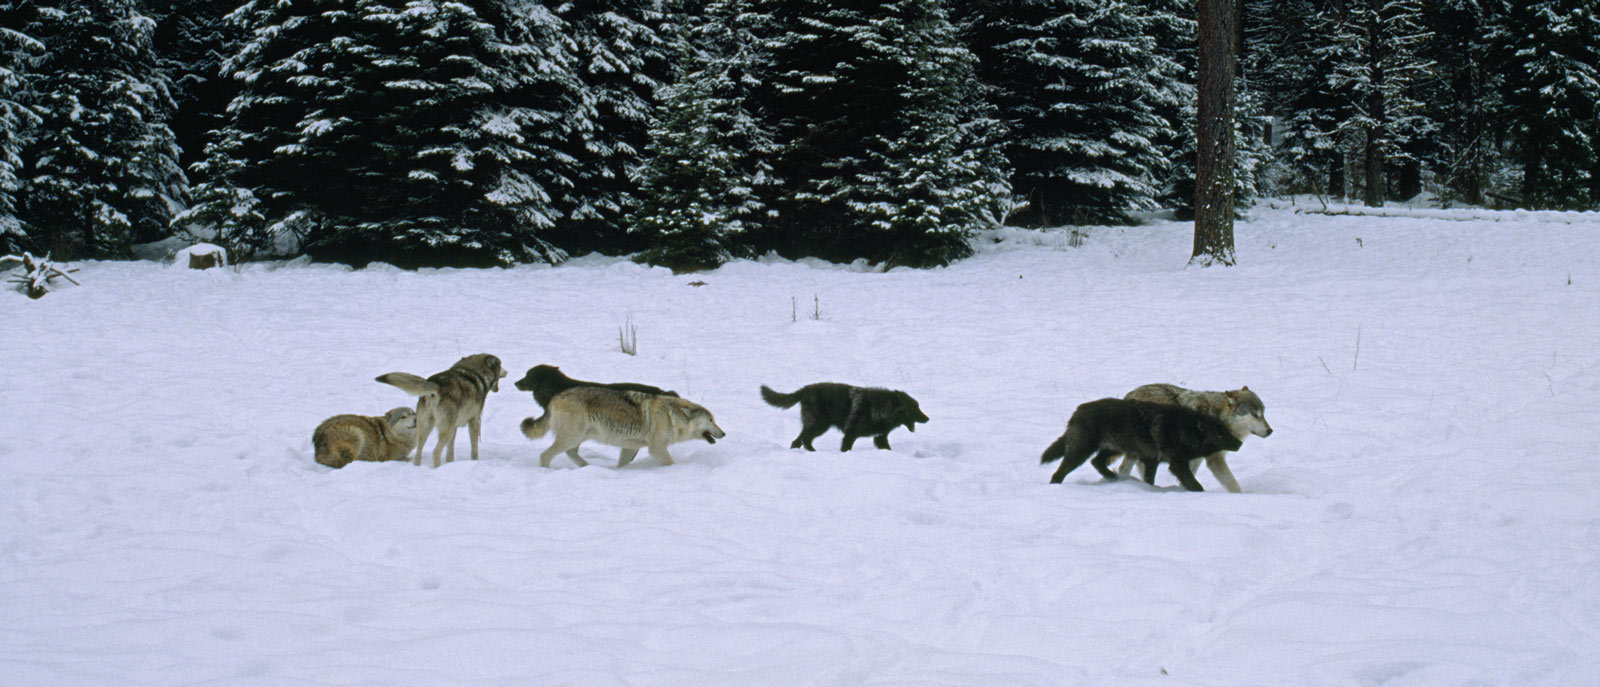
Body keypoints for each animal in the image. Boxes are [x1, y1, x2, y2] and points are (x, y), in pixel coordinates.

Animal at [376, 353, 506, 468]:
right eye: (501, 364)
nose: (507, 372)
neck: (476, 373)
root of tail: (436, 385)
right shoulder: (474, 421)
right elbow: (474, 448)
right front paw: (474, 461)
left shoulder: (455, 427)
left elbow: (450, 452)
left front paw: (450, 463)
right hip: (444, 430)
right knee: (435, 452)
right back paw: (437, 468)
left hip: (424, 428)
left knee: (418, 453)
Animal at [520, 387, 725, 468]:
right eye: (711, 420)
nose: (724, 433)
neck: (670, 415)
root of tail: (556, 397)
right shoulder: (657, 448)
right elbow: (671, 463)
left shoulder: (630, 447)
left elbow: (623, 464)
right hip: (572, 437)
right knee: (545, 455)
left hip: (577, 438)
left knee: (571, 453)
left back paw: (588, 468)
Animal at [760, 382, 929, 452]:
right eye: (914, 407)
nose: (928, 419)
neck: (879, 407)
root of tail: (804, 389)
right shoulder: (850, 434)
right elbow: (846, 448)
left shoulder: (880, 438)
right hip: (819, 426)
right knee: (803, 440)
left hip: (817, 426)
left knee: (799, 441)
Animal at [1040, 398, 1243, 491]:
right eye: (1219, 435)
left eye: (1226, 430)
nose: (1239, 443)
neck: (1181, 429)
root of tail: (1077, 411)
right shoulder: (1177, 464)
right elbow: (1195, 484)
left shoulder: (1150, 460)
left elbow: (1149, 480)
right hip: (1080, 453)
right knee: (1060, 472)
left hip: (1113, 449)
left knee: (1096, 462)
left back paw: (1113, 477)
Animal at [1116, 384, 1272, 493]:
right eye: (1254, 415)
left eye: (1263, 414)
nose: (1270, 431)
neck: (1219, 418)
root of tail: (1128, 395)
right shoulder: (1213, 459)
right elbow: (1232, 483)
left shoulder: (1197, 458)